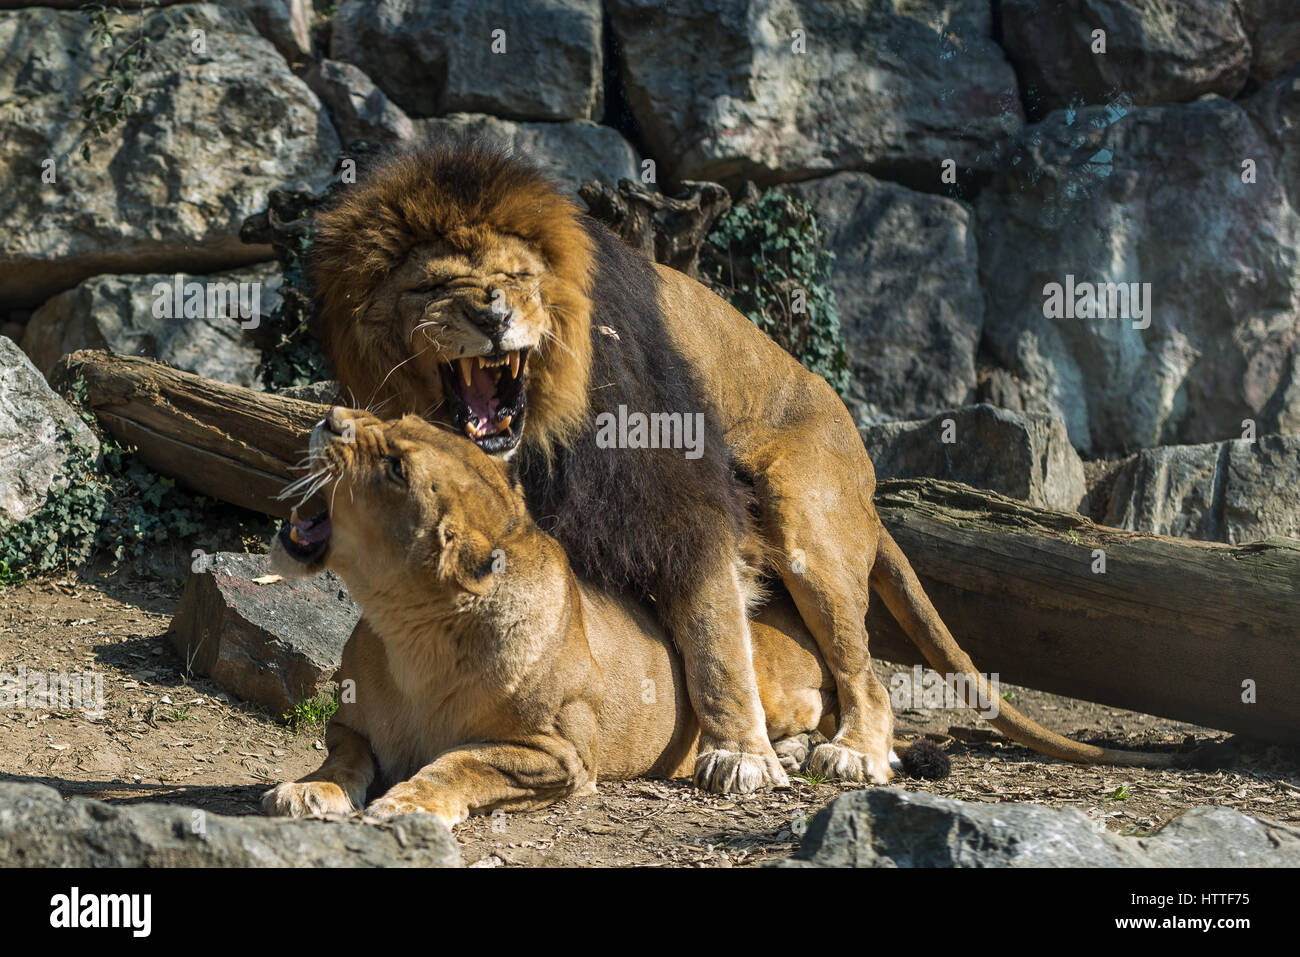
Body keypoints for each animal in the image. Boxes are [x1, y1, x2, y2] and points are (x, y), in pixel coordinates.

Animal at [262, 408, 837, 826]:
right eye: (397, 420)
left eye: (397, 468)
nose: (330, 417)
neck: (412, 634)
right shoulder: (348, 724)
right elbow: (345, 756)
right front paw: (310, 789)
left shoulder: (562, 755)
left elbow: (461, 763)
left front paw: (409, 803)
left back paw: (799, 752)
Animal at [309, 141, 1185, 790]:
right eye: (433, 284)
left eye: (518, 278)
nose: (491, 312)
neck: (532, 443)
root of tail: (871, 486)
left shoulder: (675, 492)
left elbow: (712, 632)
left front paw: (738, 754)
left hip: (804, 516)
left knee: (865, 675)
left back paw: (853, 752)